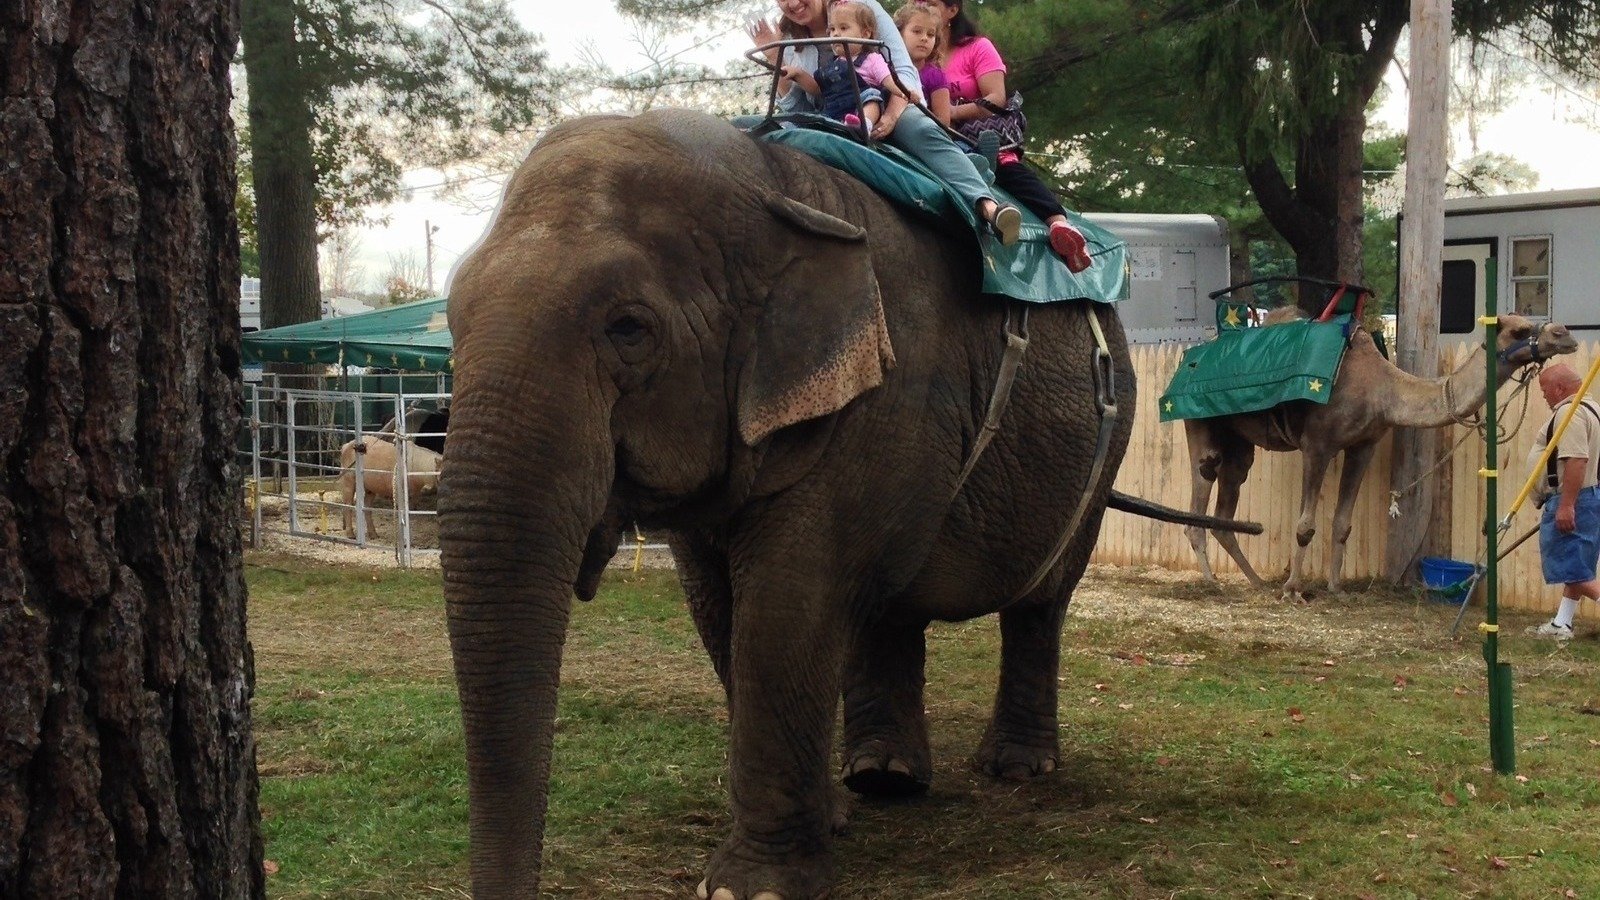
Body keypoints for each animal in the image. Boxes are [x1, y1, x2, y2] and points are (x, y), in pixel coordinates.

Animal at [440, 108, 1156, 899]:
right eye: (451, 322)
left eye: (629, 328)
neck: (772, 180)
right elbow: (720, 609)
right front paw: (830, 819)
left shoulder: (891, 391)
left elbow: (786, 606)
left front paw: (750, 887)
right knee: (890, 606)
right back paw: (881, 777)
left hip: (1105, 448)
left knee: (1040, 603)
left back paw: (1017, 769)